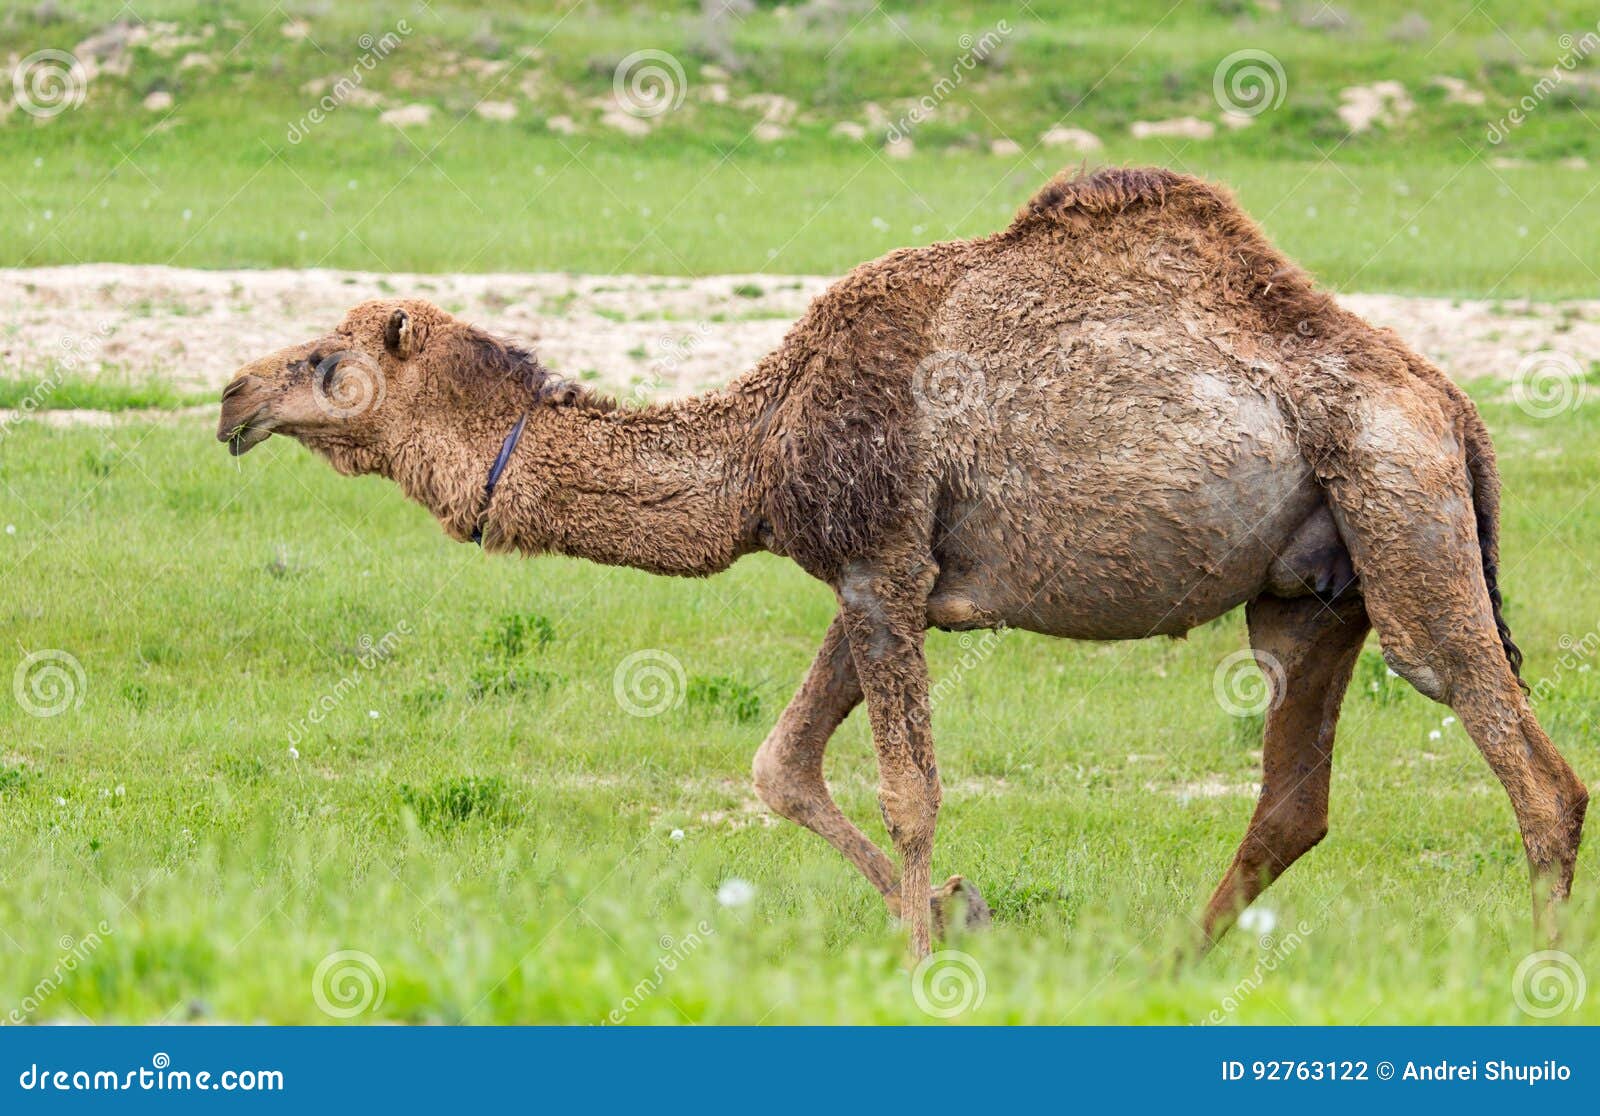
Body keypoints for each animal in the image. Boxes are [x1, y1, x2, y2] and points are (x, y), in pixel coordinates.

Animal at [218, 166, 1587, 958]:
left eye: (326, 362)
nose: (231, 397)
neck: (761, 440)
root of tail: (1452, 404)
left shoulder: (879, 561)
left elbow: (906, 788)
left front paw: (924, 958)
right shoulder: (874, 576)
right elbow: (778, 764)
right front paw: (951, 911)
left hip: (1398, 504)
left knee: (1520, 754)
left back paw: (1533, 967)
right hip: (1311, 588)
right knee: (1295, 795)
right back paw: (1176, 965)